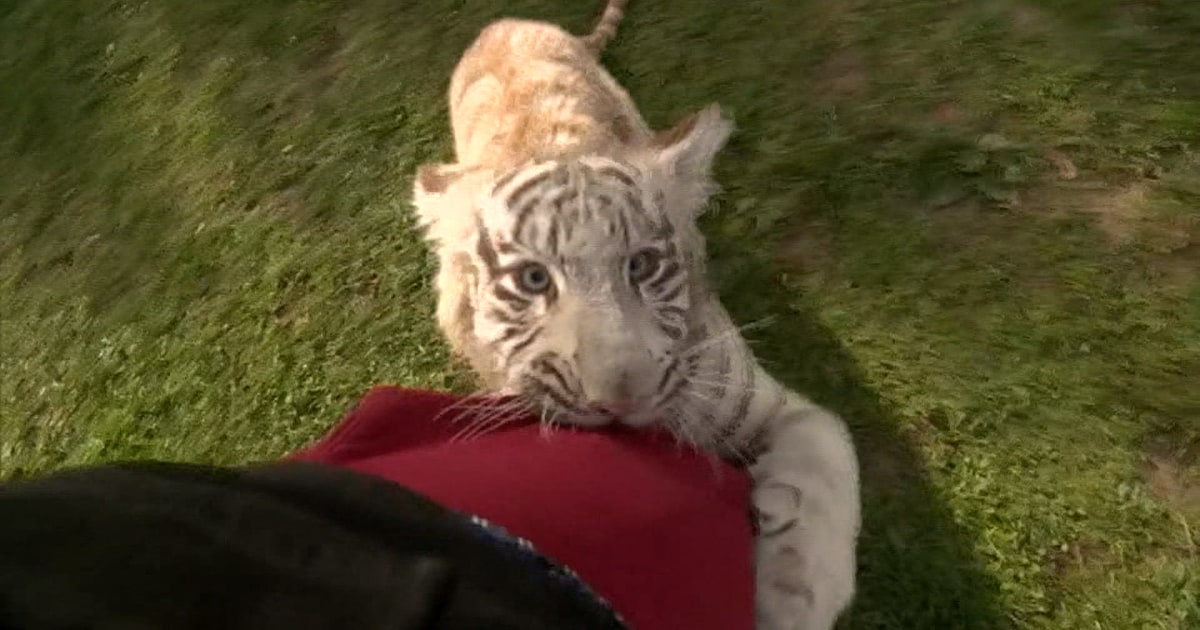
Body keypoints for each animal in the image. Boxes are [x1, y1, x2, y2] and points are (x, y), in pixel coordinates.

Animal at [409, 2, 861, 629]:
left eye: (642, 265)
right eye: (533, 279)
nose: (620, 401)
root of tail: (504, 22)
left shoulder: (773, 406)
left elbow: (826, 472)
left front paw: (788, 597)